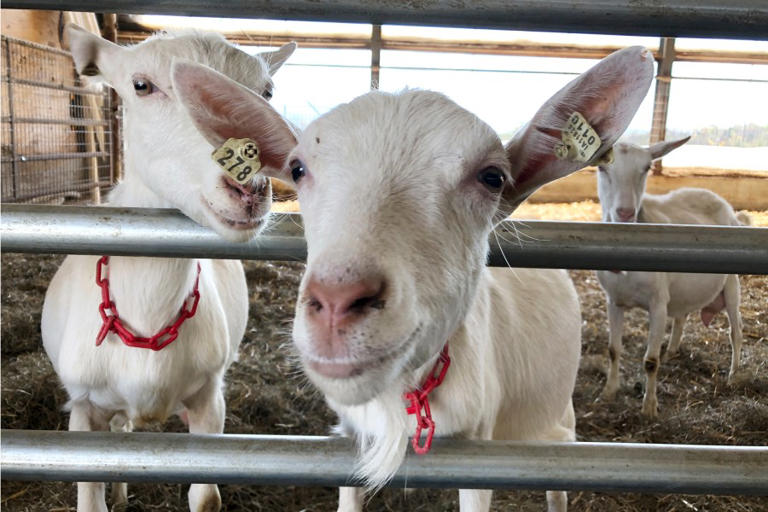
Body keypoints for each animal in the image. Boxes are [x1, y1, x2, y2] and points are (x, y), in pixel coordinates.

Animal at [41, 24, 295, 512]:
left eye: (268, 91)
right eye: (141, 85)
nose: (248, 186)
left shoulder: (210, 400)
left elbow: (206, 498)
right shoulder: (83, 410)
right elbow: (89, 496)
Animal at [173, 46, 653, 511]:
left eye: (493, 177)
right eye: (297, 169)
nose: (336, 305)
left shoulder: (481, 452)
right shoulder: (350, 438)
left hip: (557, 420)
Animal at [595, 138, 748, 418]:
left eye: (646, 168)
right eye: (602, 168)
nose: (625, 212)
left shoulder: (657, 303)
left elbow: (650, 361)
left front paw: (649, 407)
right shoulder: (613, 300)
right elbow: (613, 350)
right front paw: (608, 392)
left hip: (731, 283)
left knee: (736, 330)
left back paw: (733, 375)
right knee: (682, 315)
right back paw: (673, 349)